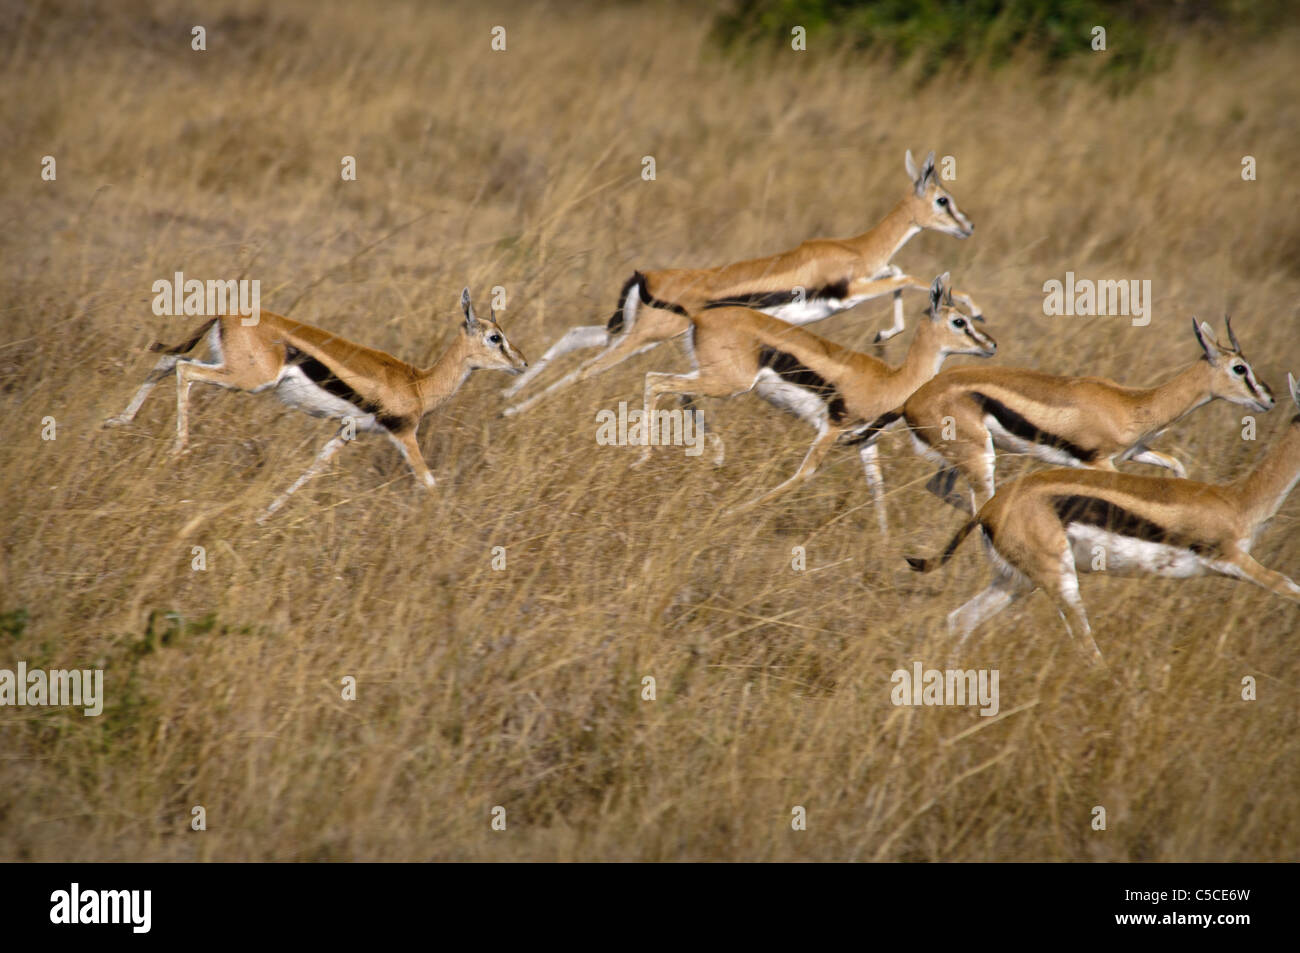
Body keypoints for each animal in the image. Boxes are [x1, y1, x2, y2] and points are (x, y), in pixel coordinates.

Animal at [103, 288, 528, 521]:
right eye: (495, 337)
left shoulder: (345, 433)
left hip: (227, 367)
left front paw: (266, 514)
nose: (522, 363)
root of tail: (225, 313)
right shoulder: (404, 434)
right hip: (249, 381)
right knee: (184, 370)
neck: (418, 384)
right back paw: (177, 451)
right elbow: (430, 482)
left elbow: (311, 469)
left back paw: (116, 422)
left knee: (168, 360)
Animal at [502, 149, 981, 417]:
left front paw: (887, 332)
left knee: (574, 337)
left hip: (632, 333)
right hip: (644, 337)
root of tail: (647, 276)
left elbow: (899, 276)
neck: (856, 248)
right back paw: (514, 410)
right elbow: (911, 276)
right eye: (943, 200)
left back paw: (508, 397)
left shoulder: (869, 281)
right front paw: (971, 309)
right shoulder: (853, 291)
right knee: (589, 368)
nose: (969, 227)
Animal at [635, 274, 996, 528]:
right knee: (656, 380)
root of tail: (698, 316)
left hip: (714, 379)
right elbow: (803, 474)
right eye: (959, 321)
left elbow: (877, 489)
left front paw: (883, 548)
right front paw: (731, 513)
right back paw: (644, 459)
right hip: (727, 384)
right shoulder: (831, 430)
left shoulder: (865, 442)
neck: (893, 380)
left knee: (676, 390)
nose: (991, 345)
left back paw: (715, 457)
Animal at [903, 317, 1275, 512]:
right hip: (981, 458)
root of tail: (912, 400)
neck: (1131, 403)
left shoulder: (1134, 453)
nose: (1270, 398)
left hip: (956, 461)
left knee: (940, 489)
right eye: (1240, 368)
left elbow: (1177, 465)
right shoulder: (1100, 463)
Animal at [906, 373, 1300, 665]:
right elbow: (1289, 586)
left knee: (958, 621)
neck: (1237, 500)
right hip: (1059, 580)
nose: (1269, 398)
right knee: (1086, 649)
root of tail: (990, 509)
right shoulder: (1233, 559)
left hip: (1015, 582)